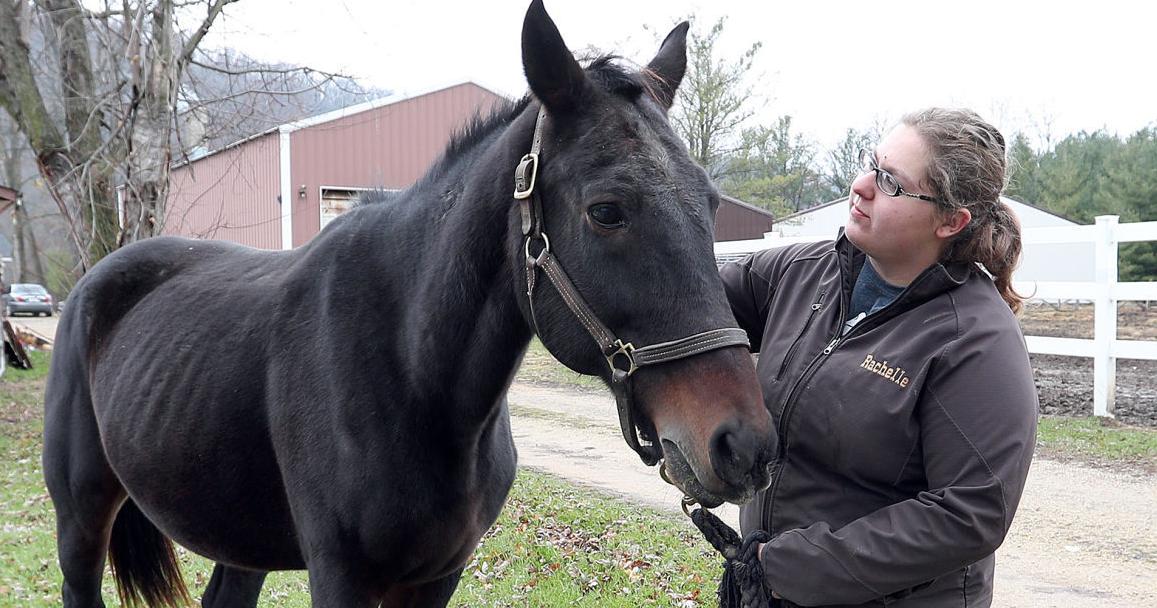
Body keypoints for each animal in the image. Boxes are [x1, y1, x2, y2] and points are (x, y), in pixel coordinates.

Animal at [42, 2, 776, 606]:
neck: (413, 373)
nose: (743, 444)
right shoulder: (340, 576)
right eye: (606, 211)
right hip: (80, 515)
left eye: (711, 204)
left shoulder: (435, 578)